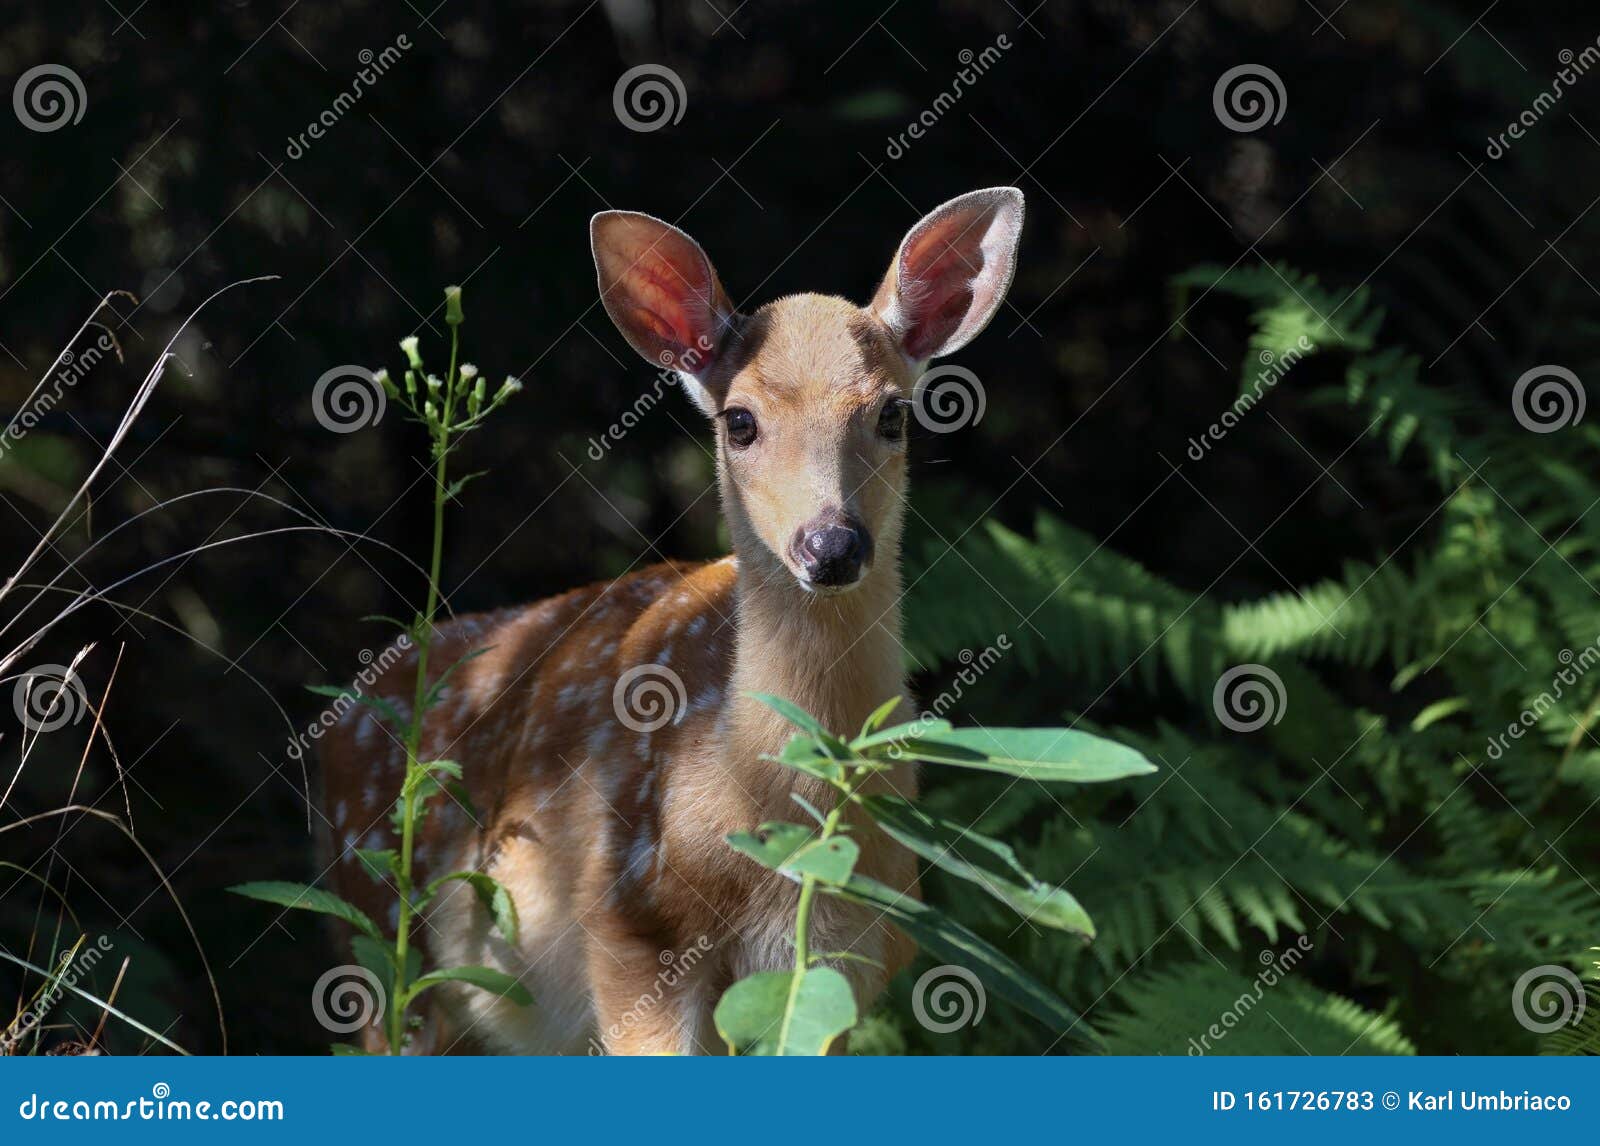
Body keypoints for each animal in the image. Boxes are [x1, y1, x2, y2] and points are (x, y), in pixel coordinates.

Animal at [318, 186, 1026, 1054]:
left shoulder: (843, 957)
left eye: (892, 414)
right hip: (382, 933)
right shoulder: (630, 928)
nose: (831, 544)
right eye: (740, 421)